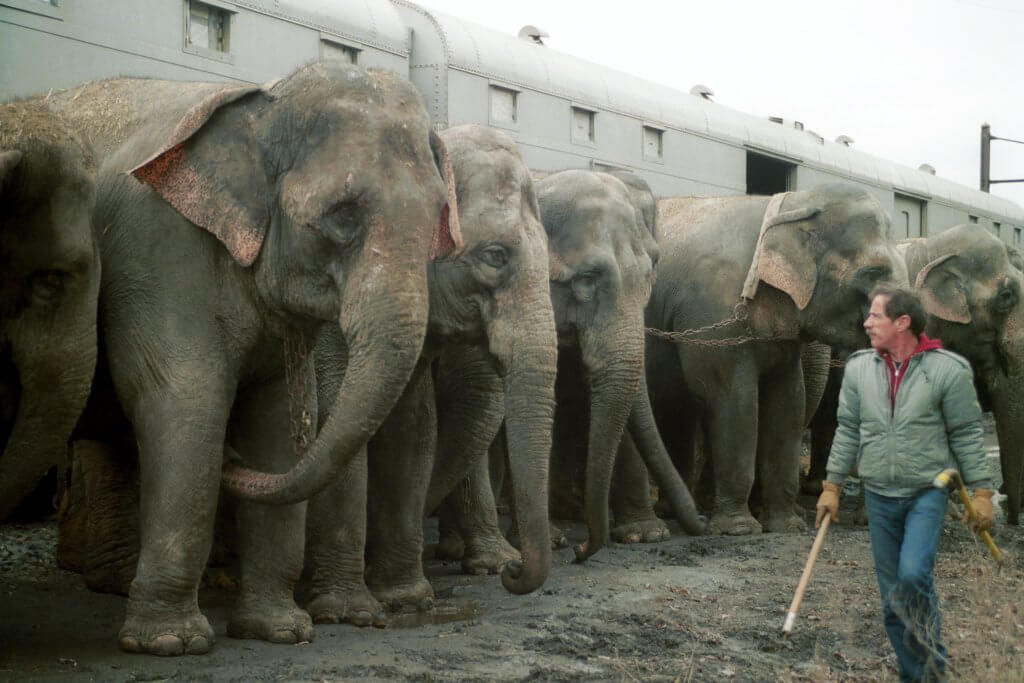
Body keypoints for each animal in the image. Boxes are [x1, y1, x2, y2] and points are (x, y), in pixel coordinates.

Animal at [48, 62, 458, 655]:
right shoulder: (158, 250)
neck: (265, 106)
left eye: (437, 218)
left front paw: (280, 632)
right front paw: (172, 644)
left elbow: (273, 423)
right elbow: (187, 398)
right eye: (340, 216)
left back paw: (115, 585)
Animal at [298, 124, 556, 622]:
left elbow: (414, 428)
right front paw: (348, 613)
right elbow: (338, 418)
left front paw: (405, 599)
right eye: (496, 255)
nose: (514, 573)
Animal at [643, 185, 906, 535]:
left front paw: (786, 526)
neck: (788, 203)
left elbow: (788, 401)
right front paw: (739, 529)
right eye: (873, 272)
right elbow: (734, 399)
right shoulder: (713, 316)